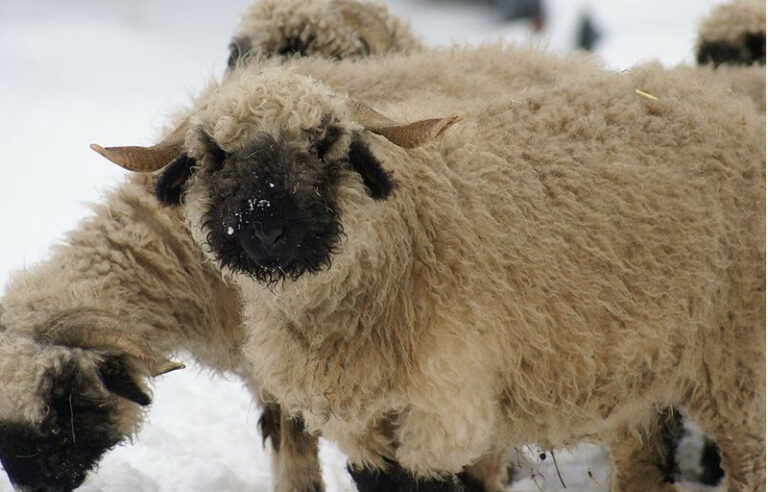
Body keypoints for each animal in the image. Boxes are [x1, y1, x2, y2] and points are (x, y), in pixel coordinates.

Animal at [88, 32, 760, 490]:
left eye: (325, 144)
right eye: (214, 153)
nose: (266, 225)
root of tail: (720, 101)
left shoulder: (445, 412)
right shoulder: (362, 425)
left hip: (734, 359)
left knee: (746, 458)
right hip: (640, 376)